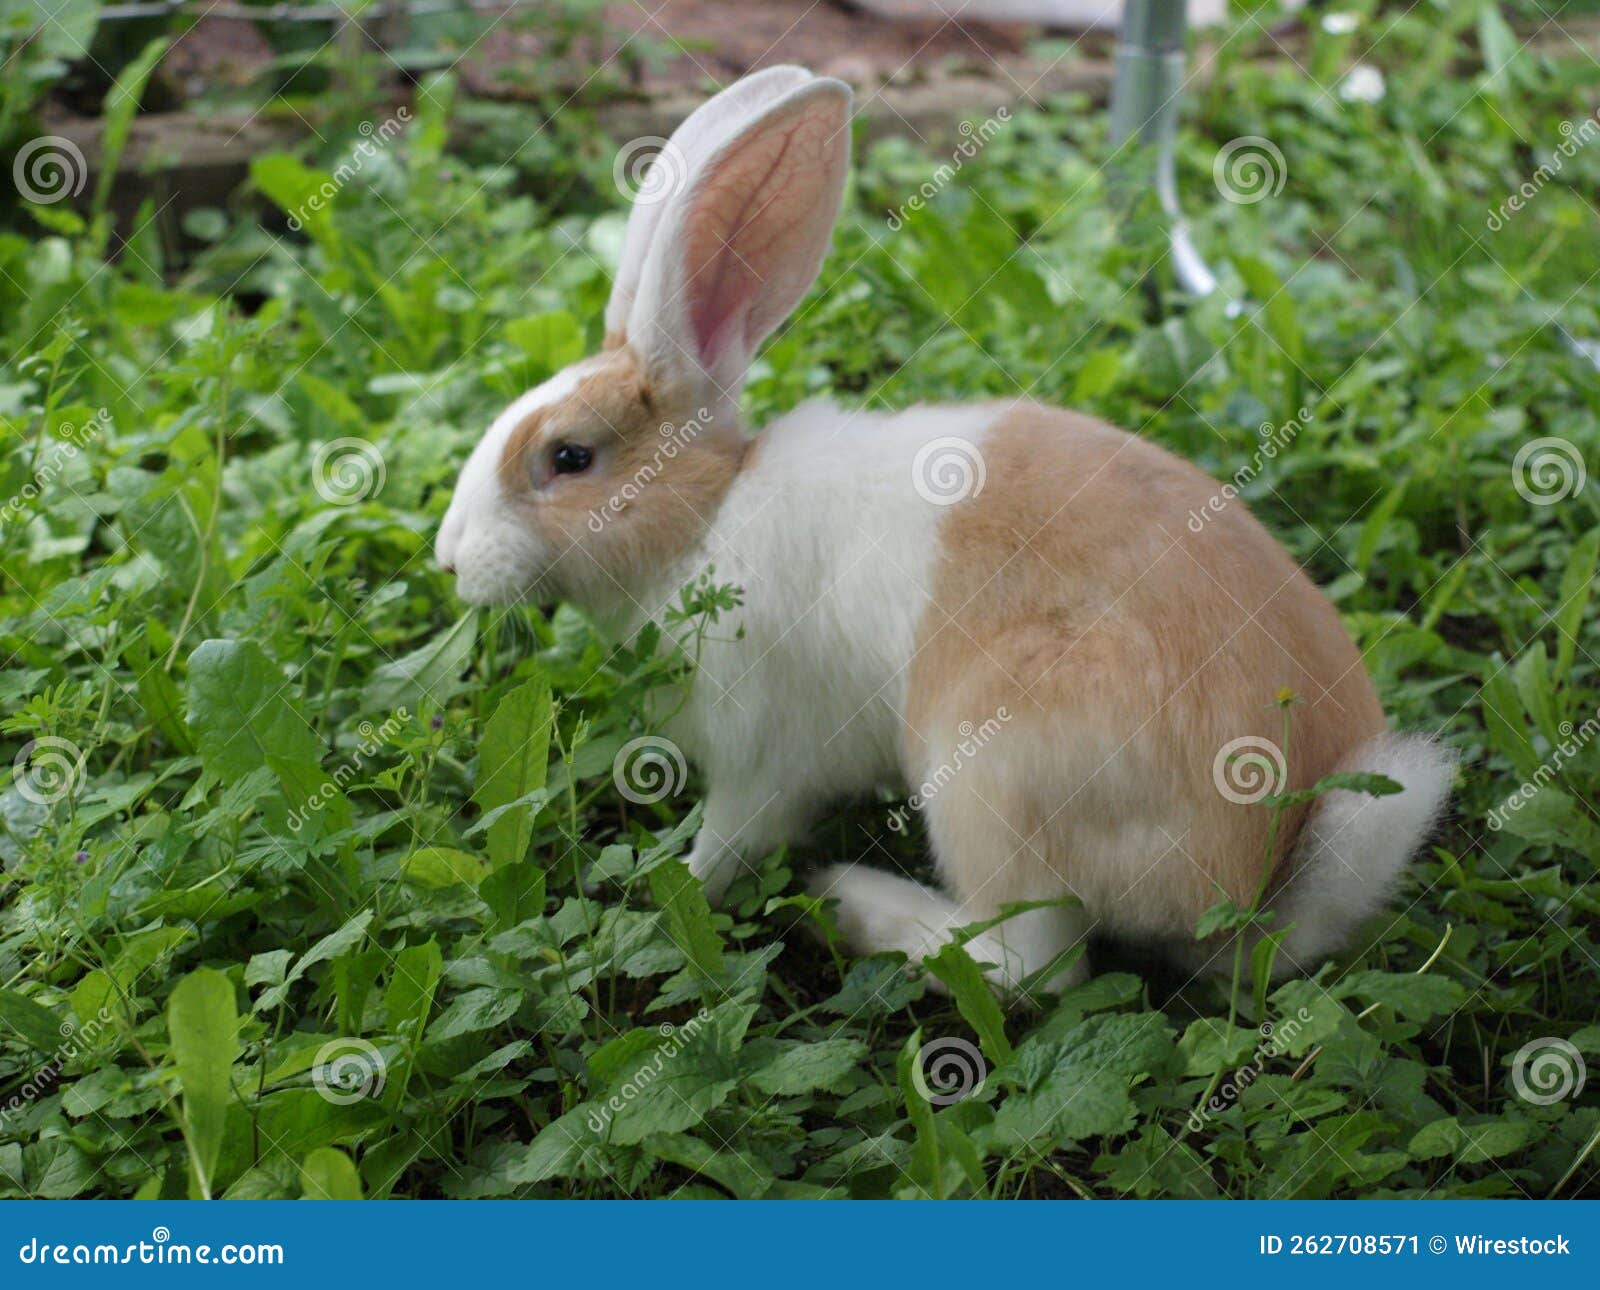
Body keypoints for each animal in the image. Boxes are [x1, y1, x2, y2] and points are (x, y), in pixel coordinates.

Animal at [436, 66, 1455, 994]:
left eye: (569, 458)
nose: (449, 559)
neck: (706, 517)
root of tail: (1256, 885)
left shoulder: (763, 760)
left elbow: (726, 846)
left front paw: (664, 901)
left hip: (987, 773)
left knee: (1033, 964)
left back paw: (859, 905)